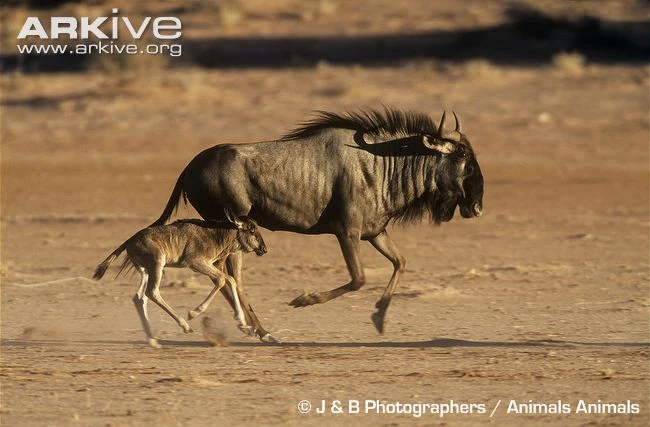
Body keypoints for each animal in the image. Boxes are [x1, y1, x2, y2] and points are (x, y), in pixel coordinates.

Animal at [93, 212, 267, 348]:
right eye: (252, 229)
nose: (263, 249)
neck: (217, 234)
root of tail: (129, 241)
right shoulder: (195, 262)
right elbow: (221, 280)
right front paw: (193, 312)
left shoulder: (208, 264)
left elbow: (230, 279)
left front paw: (244, 325)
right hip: (157, 263)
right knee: (152, 292)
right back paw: (185, 325)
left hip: (145, 271)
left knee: (139, 298)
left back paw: (153, 340)